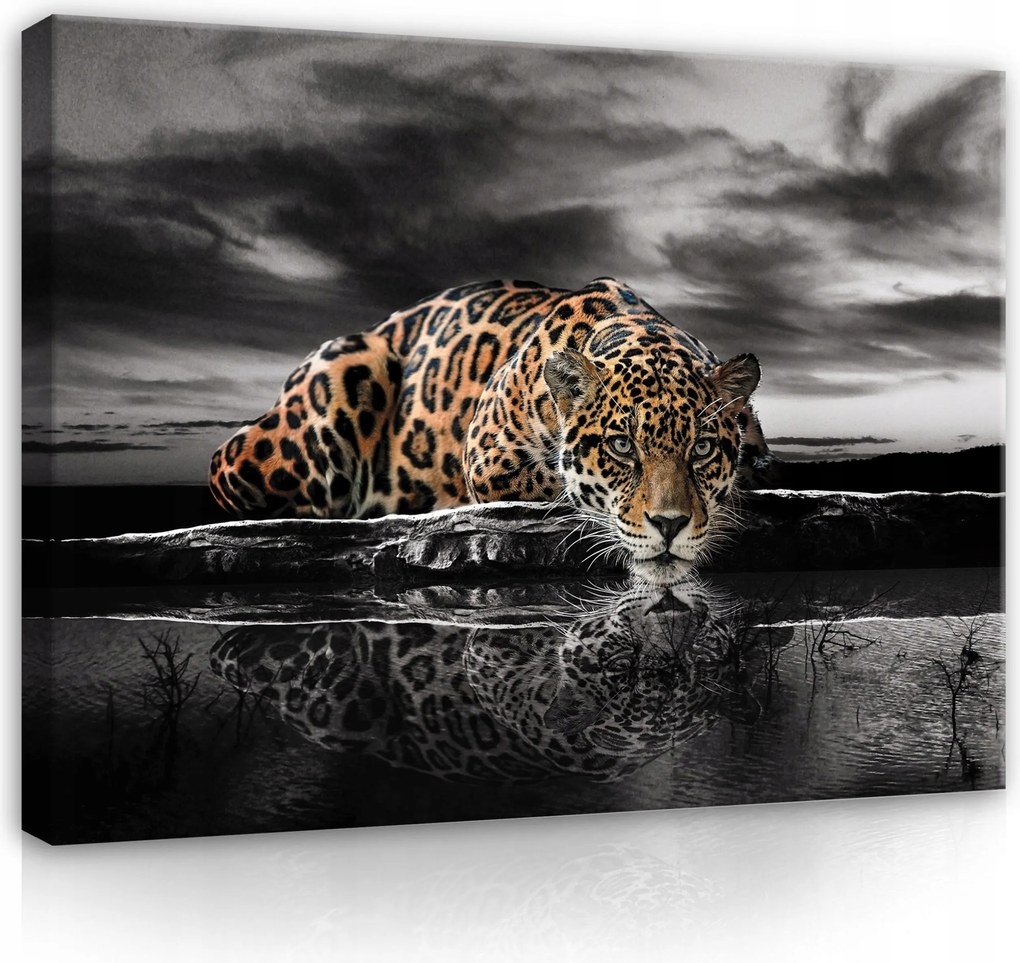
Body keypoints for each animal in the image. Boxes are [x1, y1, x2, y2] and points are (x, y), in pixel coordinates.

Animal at [209, 277, 775, 585]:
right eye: (620, 446)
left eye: (702, 448)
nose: (670, 525)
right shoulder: (488, 457)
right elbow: (559, 486)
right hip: (333, 385)